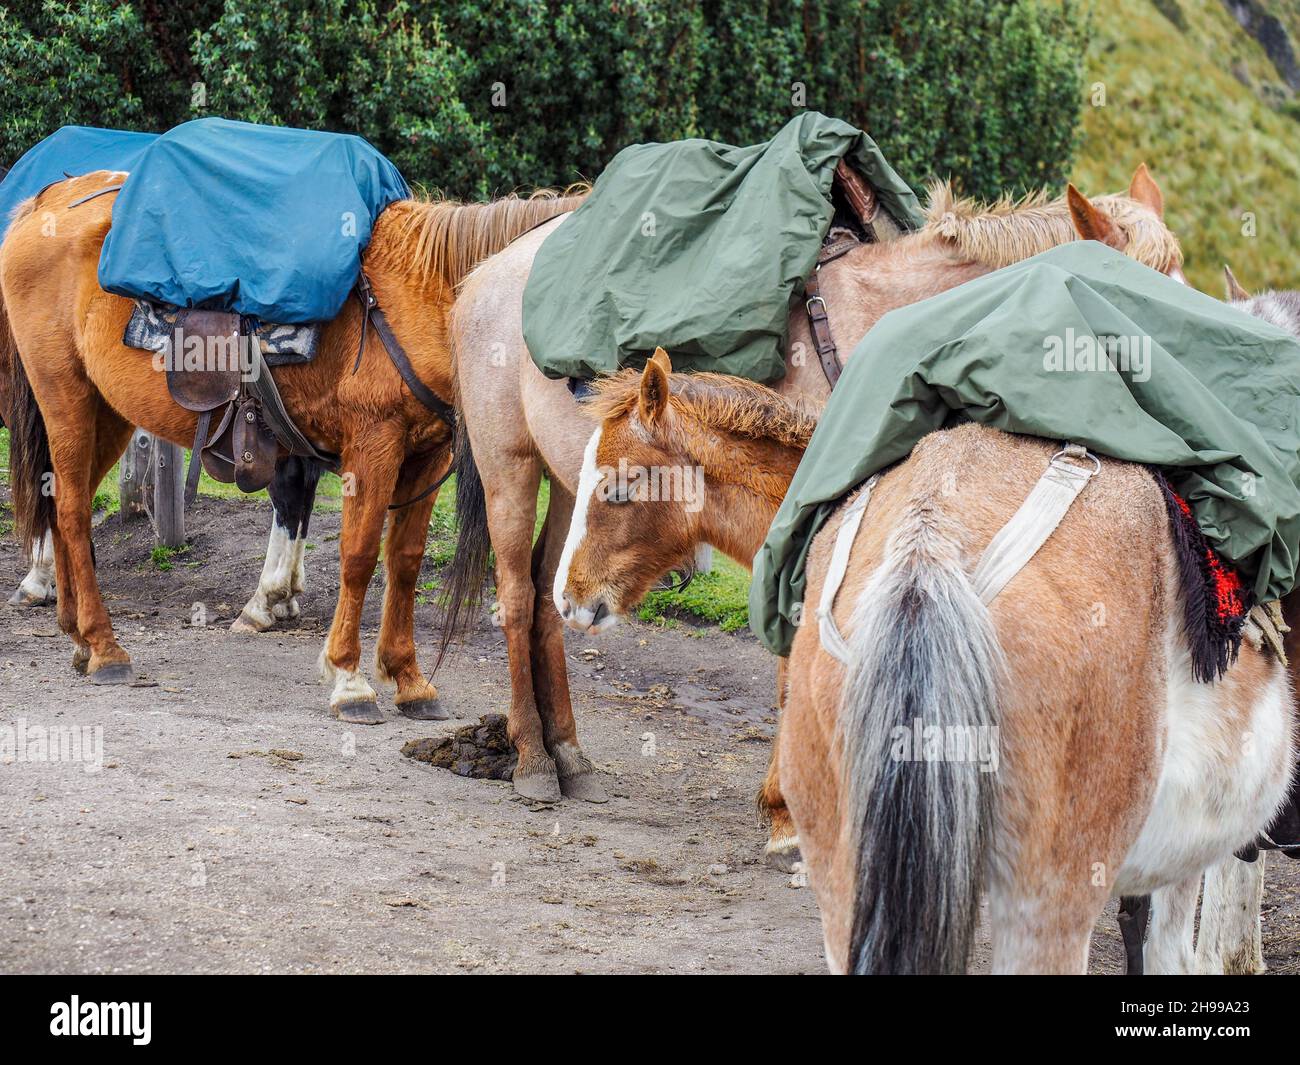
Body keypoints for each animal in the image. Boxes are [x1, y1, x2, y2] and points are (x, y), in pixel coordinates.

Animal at [1, 172, 584, 722]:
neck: (421, 299)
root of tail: (45, 202)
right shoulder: (373, 447)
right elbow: (358, 555)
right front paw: (349, 680)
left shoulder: (426, 454)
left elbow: (405, 561)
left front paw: (409, 679)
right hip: (66, 399)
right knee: (72, 511)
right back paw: (104, 646)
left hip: (108, 413)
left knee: (63, 505)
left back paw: (77, 636)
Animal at [443, 165, 1183, 817]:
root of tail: (485, 275)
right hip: (510, 466)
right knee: (516, 597)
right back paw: (532, 759)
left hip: (568, 482)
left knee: (549, 597)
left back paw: (567, 751)